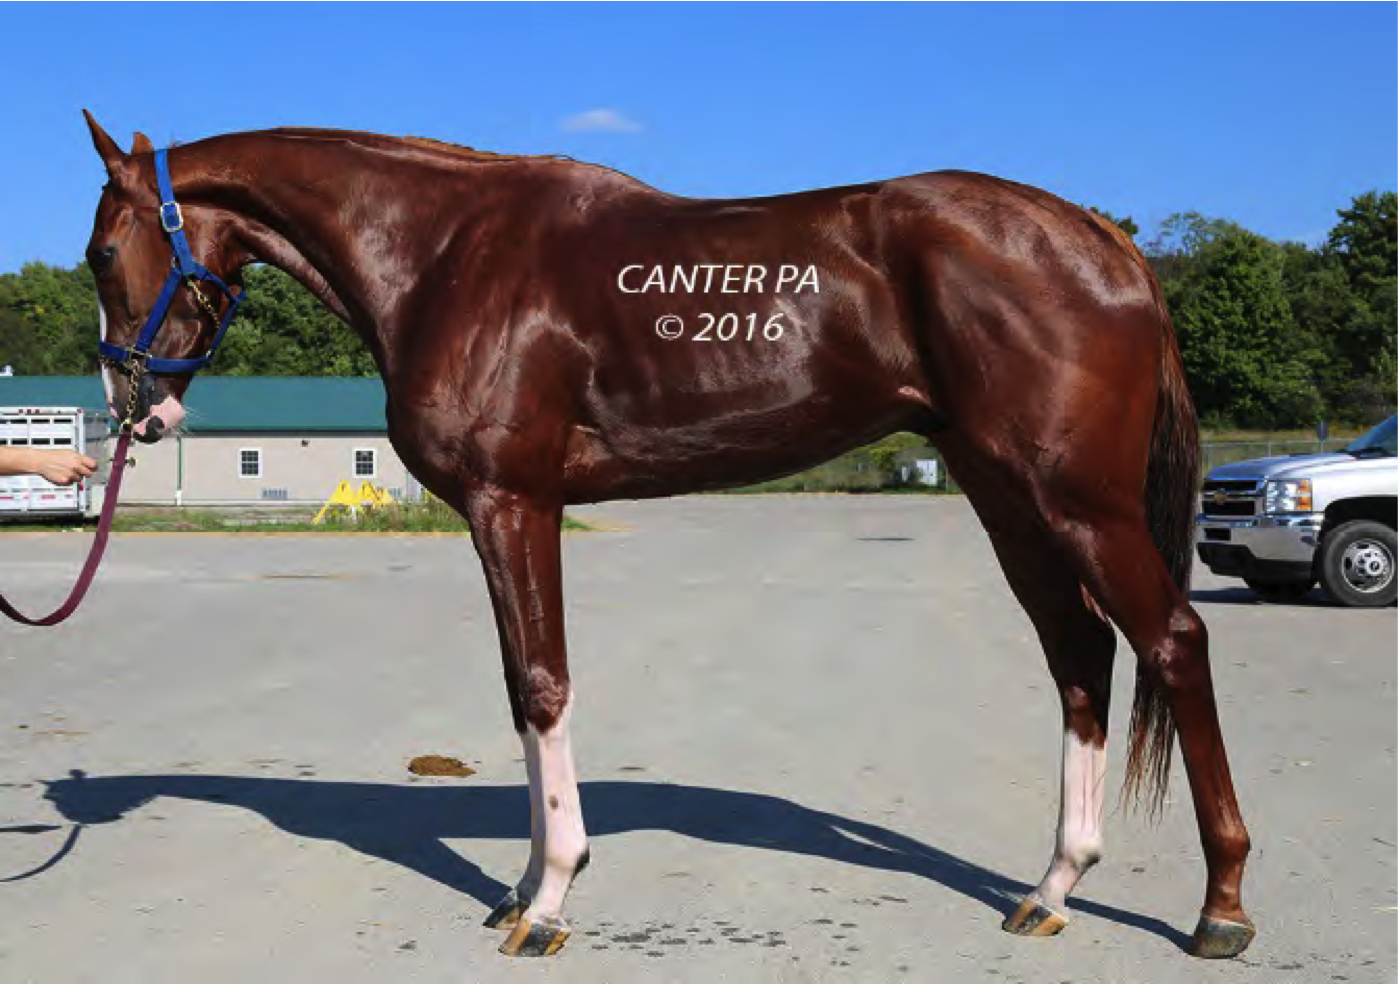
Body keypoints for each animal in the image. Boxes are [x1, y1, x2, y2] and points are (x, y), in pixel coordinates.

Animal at [80, 111, 1253, 959]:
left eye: (100, 251)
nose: (137, 406)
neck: (447, 252)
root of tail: (1105, 241)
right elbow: (519, 685)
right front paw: (521, 882)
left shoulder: (513, 502)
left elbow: (541, 683)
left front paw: (549, 898)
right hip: (1004, 491)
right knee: (1079, 656)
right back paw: (1051, 886)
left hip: (1078, 501)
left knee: (1173, 641)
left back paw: (1221, 905)